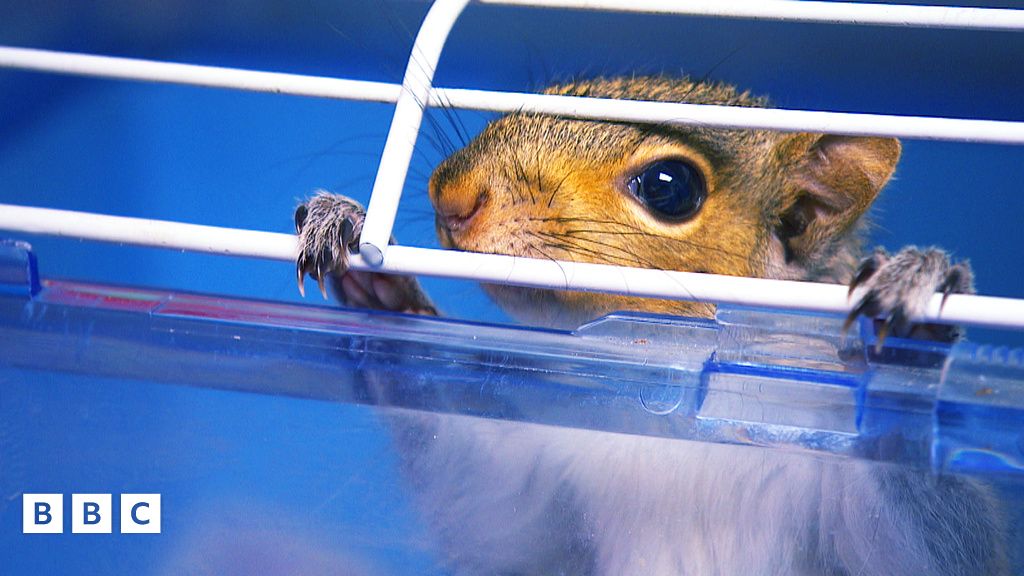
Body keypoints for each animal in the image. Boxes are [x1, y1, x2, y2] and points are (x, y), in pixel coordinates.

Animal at [294, 76, 1007, 575]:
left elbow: (941, 545)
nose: (452, 194)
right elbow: (492, 520)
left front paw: (917, 312)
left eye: (669, 186)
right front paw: (372, 269)